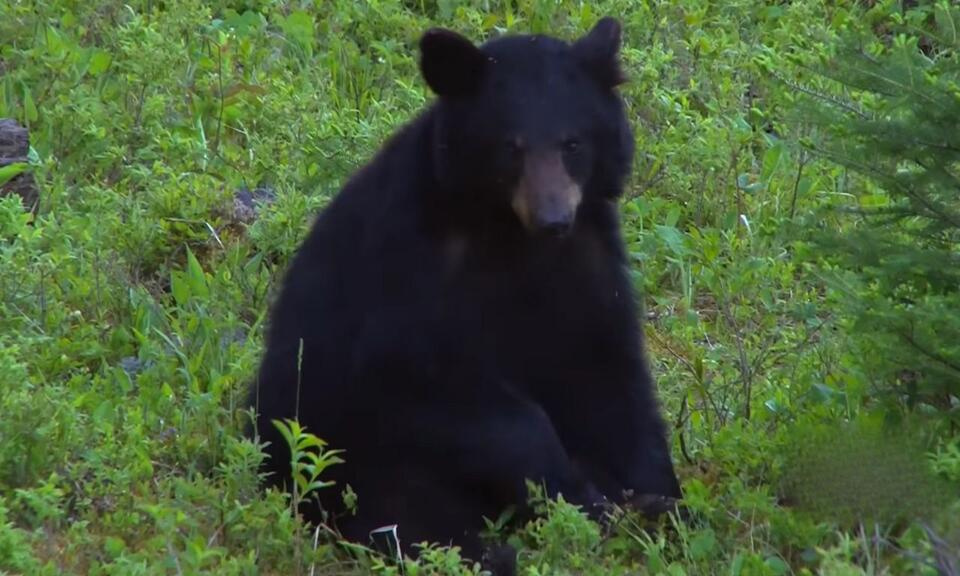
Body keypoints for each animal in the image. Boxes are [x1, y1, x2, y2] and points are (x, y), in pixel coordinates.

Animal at [249, 17, 681, 568]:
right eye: (511, 147)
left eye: (573, 143)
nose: (553, 220)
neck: (510, 232)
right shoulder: (411, 260)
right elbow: (414, 369)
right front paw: (575, 492)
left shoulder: (587, 257)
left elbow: (606, 369)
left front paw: (661, 504)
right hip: (341, 453)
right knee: (406, 516)